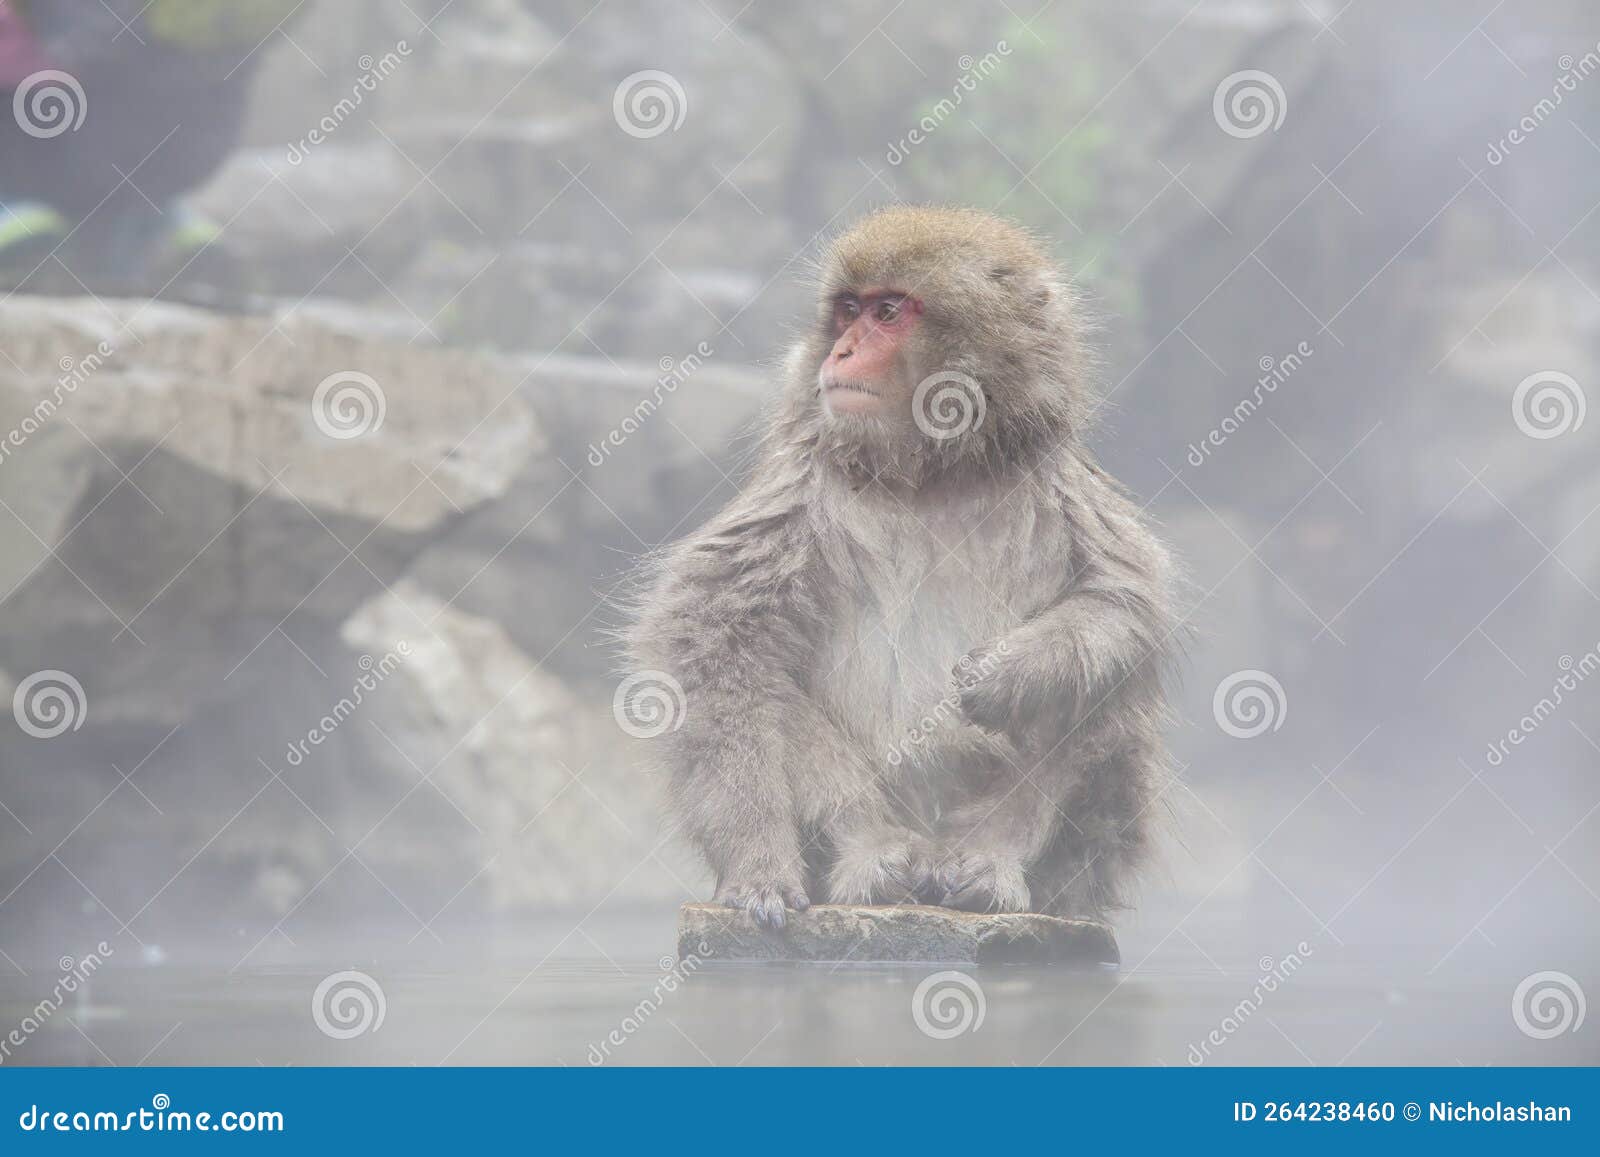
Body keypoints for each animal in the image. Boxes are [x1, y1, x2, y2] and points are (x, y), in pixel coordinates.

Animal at [625, 205, 1178, 930]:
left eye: (889, 312)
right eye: (848, 310)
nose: (840, 352)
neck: (931, 471)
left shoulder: (1060, 482)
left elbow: (1122, 600)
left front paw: (1006, 672)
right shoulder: (805, 479)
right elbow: (711, 629)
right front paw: (758, 863)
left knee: (1108, 690)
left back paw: (990, 863)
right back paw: (873, 854)